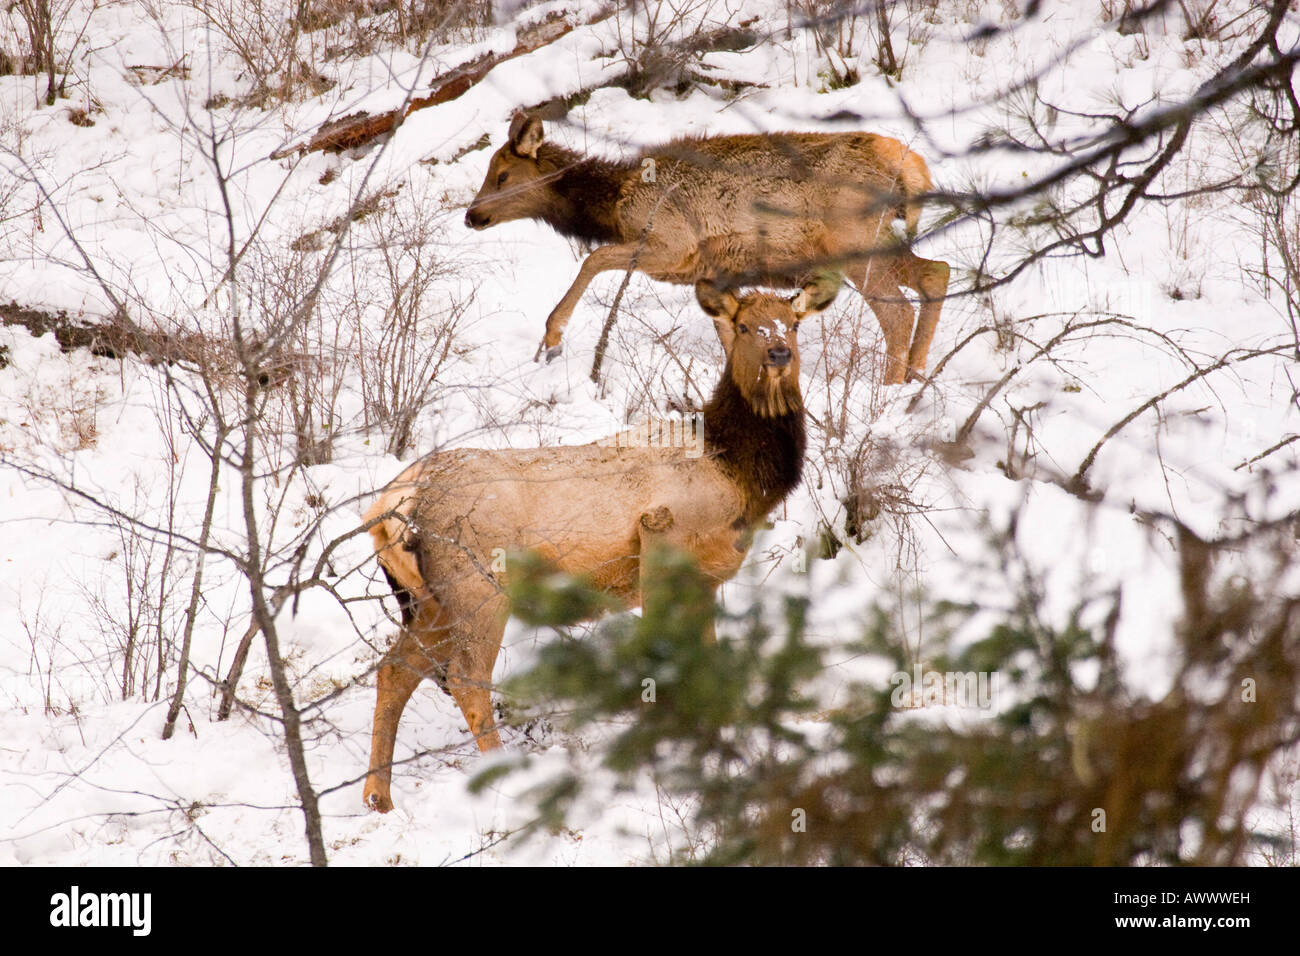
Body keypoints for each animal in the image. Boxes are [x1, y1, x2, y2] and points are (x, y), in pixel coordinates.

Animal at [360, 273, 839, 812]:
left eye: (793, 322)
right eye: (742, 325)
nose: (778, 351)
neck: (736, 474)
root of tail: (391, 506)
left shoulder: (706, 577)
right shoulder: (662, 537)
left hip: (428, 600)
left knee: (394, 669)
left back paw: (378, 797)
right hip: (478, 584)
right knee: (465, 676)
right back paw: (502, 777)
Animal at [465, 114, 949, 385]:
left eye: (502, 175)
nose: (471, 215)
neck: (613, 203)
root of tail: (912, 168)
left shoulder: (669, 244)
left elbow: (593, 258)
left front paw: (552, 338)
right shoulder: (711, 272)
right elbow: (730, 338)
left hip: (855, 243)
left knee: (897, 312)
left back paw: (890, 389)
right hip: (878, 240)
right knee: (935, 271)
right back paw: (917, 378)